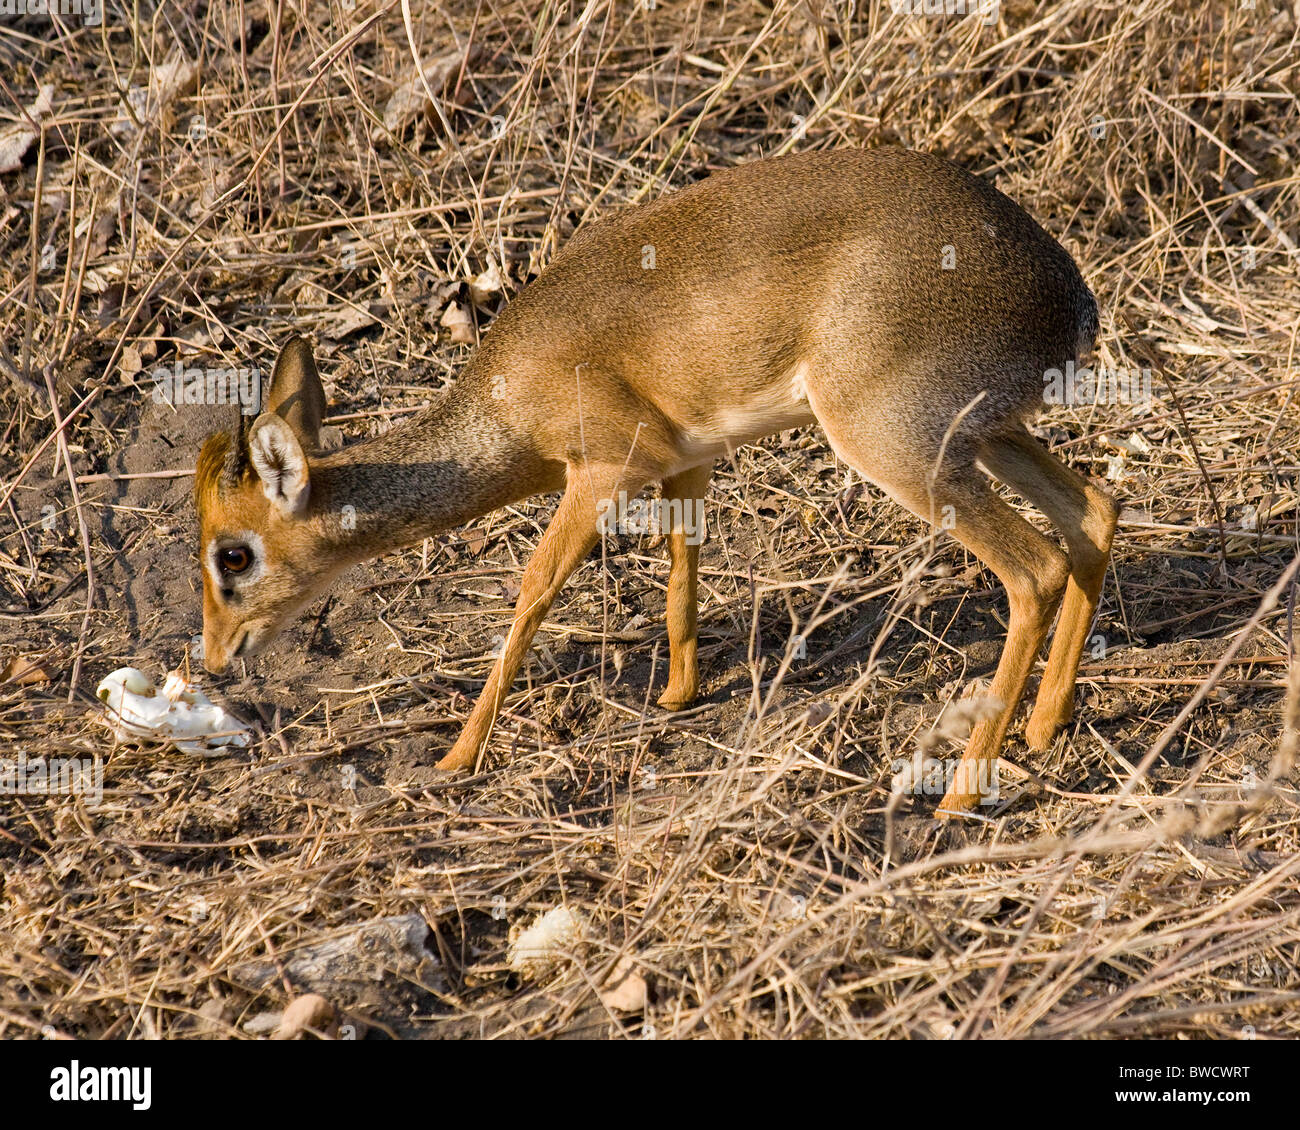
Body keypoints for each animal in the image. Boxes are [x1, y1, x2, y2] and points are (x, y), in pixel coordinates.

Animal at [193, 147, 1116, 815]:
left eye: (232, 555)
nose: (212, 658)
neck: (505, 403)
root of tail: (1069, 293)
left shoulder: (605, 469)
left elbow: (532, 590)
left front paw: (458, 754)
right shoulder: (687, 464)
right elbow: (681, 574)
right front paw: (677, 695)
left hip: (899, 447)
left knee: (1035, 567)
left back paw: (960, 795)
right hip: (988, 436)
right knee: (1094, 513)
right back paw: (1045, 727)